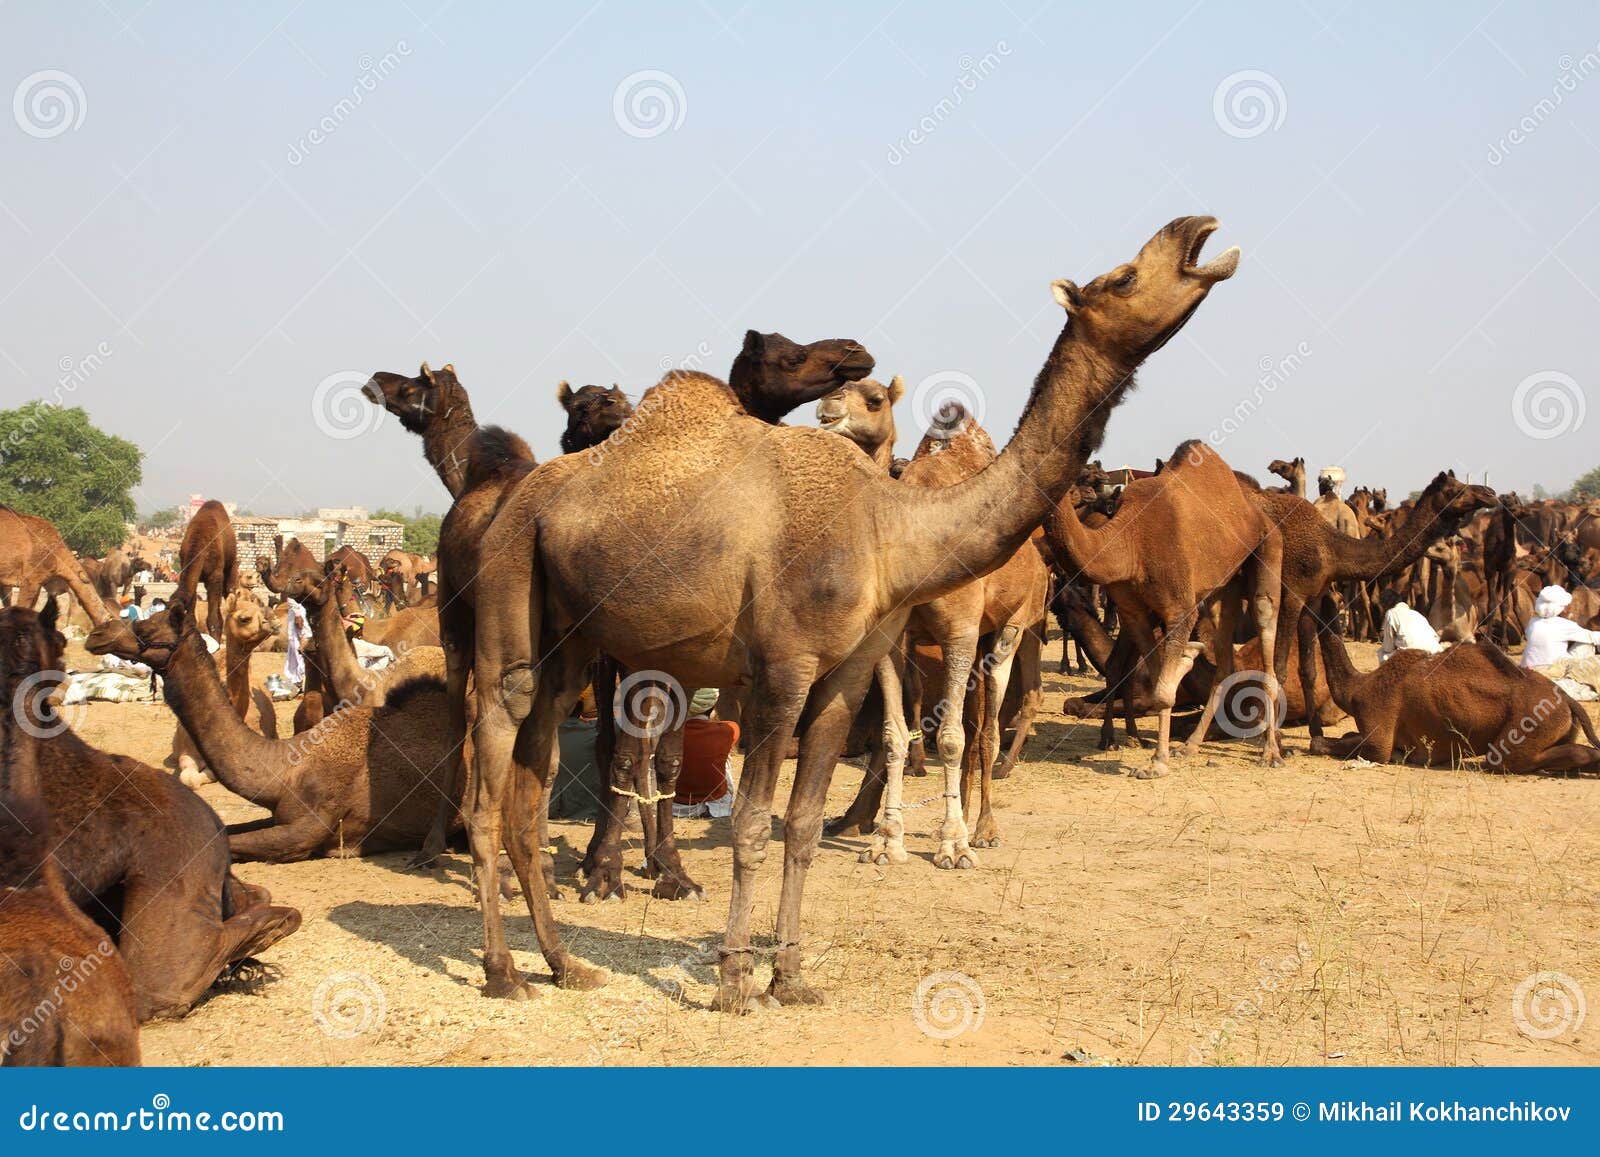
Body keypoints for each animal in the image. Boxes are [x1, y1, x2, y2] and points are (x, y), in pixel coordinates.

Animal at [465, 215, 1240, 1006]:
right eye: (1123, 277)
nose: (1198, 229)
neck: (889, 529)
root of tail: (515, 503)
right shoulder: (782, 667)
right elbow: (753, 823)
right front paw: (735, 979)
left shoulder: (850, 670)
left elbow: (805, 823)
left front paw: (792, 976)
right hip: (512, 586)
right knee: (493, 767)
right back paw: (504, 971)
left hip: (570, 636)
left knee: (532, 783)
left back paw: (564, 963)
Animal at [1048, 440, 1285, 777]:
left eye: (1085, 479)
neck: (1128, 540)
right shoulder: (1134, 613)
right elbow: (1157, 678)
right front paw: (1155, 752)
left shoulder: (1178, 610)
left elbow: (1162, 690)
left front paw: (1157, 762)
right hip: (1222, 587)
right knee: (1224, 660)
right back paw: (1189, 746)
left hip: (1268, 550)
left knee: (1266, 634)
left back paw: (1270, 752)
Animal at [1306, 598, 1600, 772]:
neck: (1357, 687)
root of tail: (1566, 699)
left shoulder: (1377, 733)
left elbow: (1323, 744)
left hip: (1530, 727)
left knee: (1505, 759)